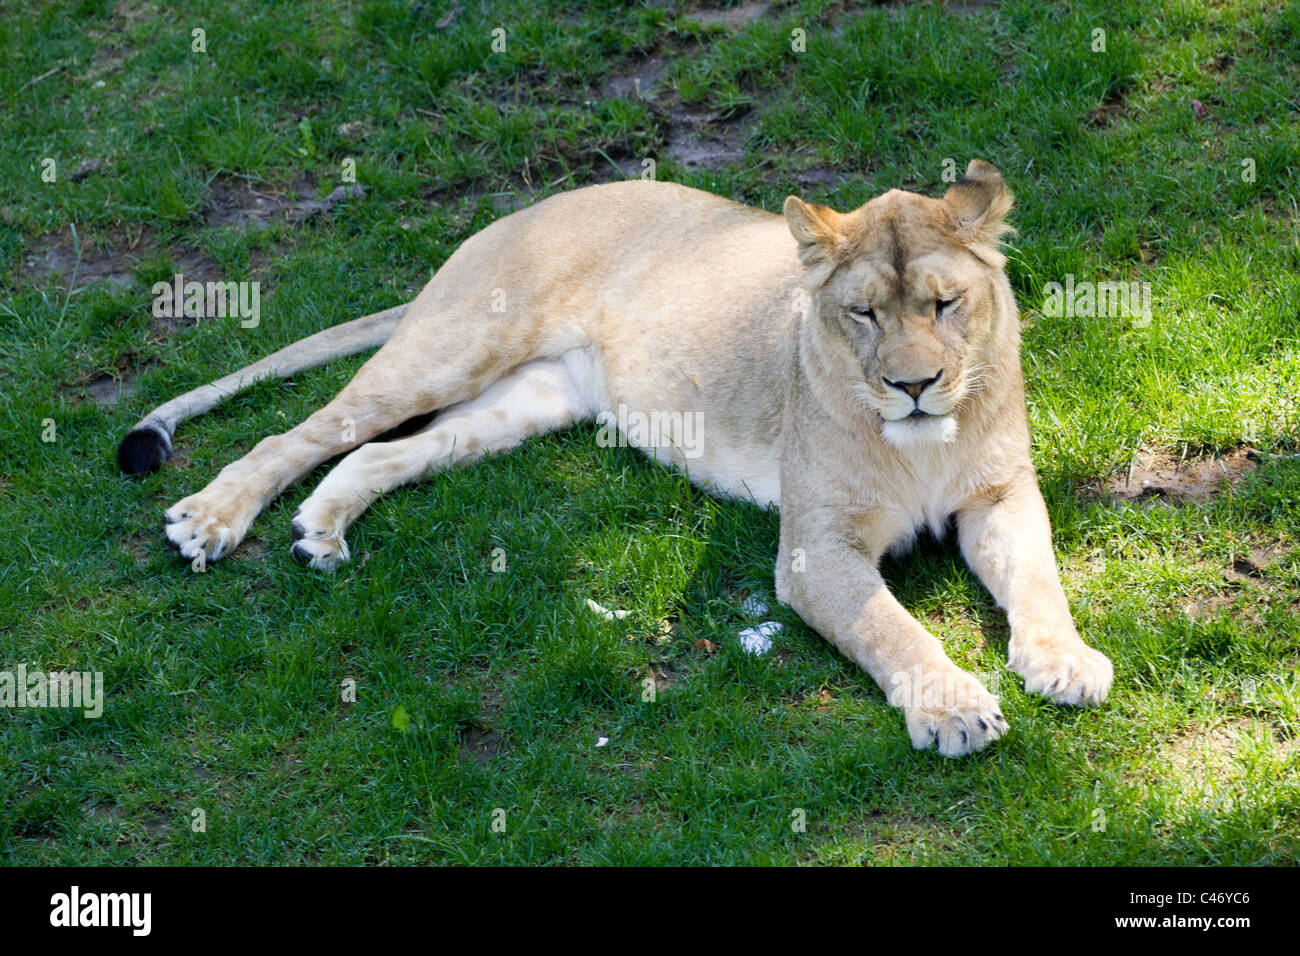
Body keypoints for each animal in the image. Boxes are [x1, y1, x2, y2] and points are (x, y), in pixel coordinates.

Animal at [118, 160, 1112, 756]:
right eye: (863, 313)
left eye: (945, 304)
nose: (913, 386)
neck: (923, 446)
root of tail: (518, 212)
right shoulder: (812, 548)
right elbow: (892, 629)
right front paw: (952, 707)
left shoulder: (999, 494)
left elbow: (1040, 576)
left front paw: (1064, 661)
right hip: (449, 349)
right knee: (302, 433)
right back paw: (209, 520)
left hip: (525, 402)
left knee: (381, 456)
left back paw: (320, 532)